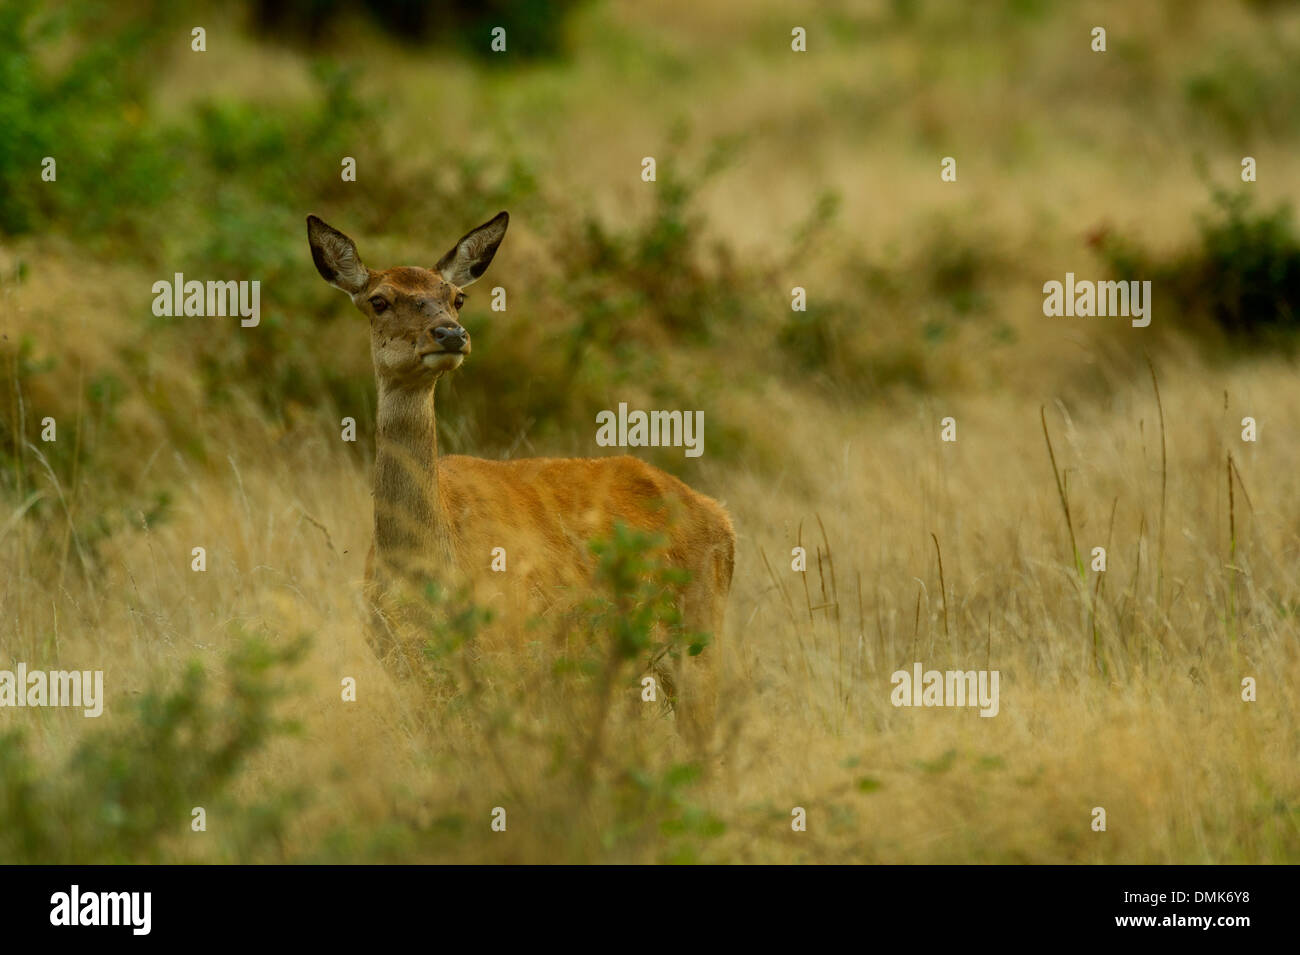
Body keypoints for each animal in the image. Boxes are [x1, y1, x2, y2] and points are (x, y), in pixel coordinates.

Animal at [306, 212, 735, 740]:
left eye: (457, 296)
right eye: (379, 300)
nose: (450, 334)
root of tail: (721, 517)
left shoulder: (509, 654)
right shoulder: (403, 665)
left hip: (700, 636)